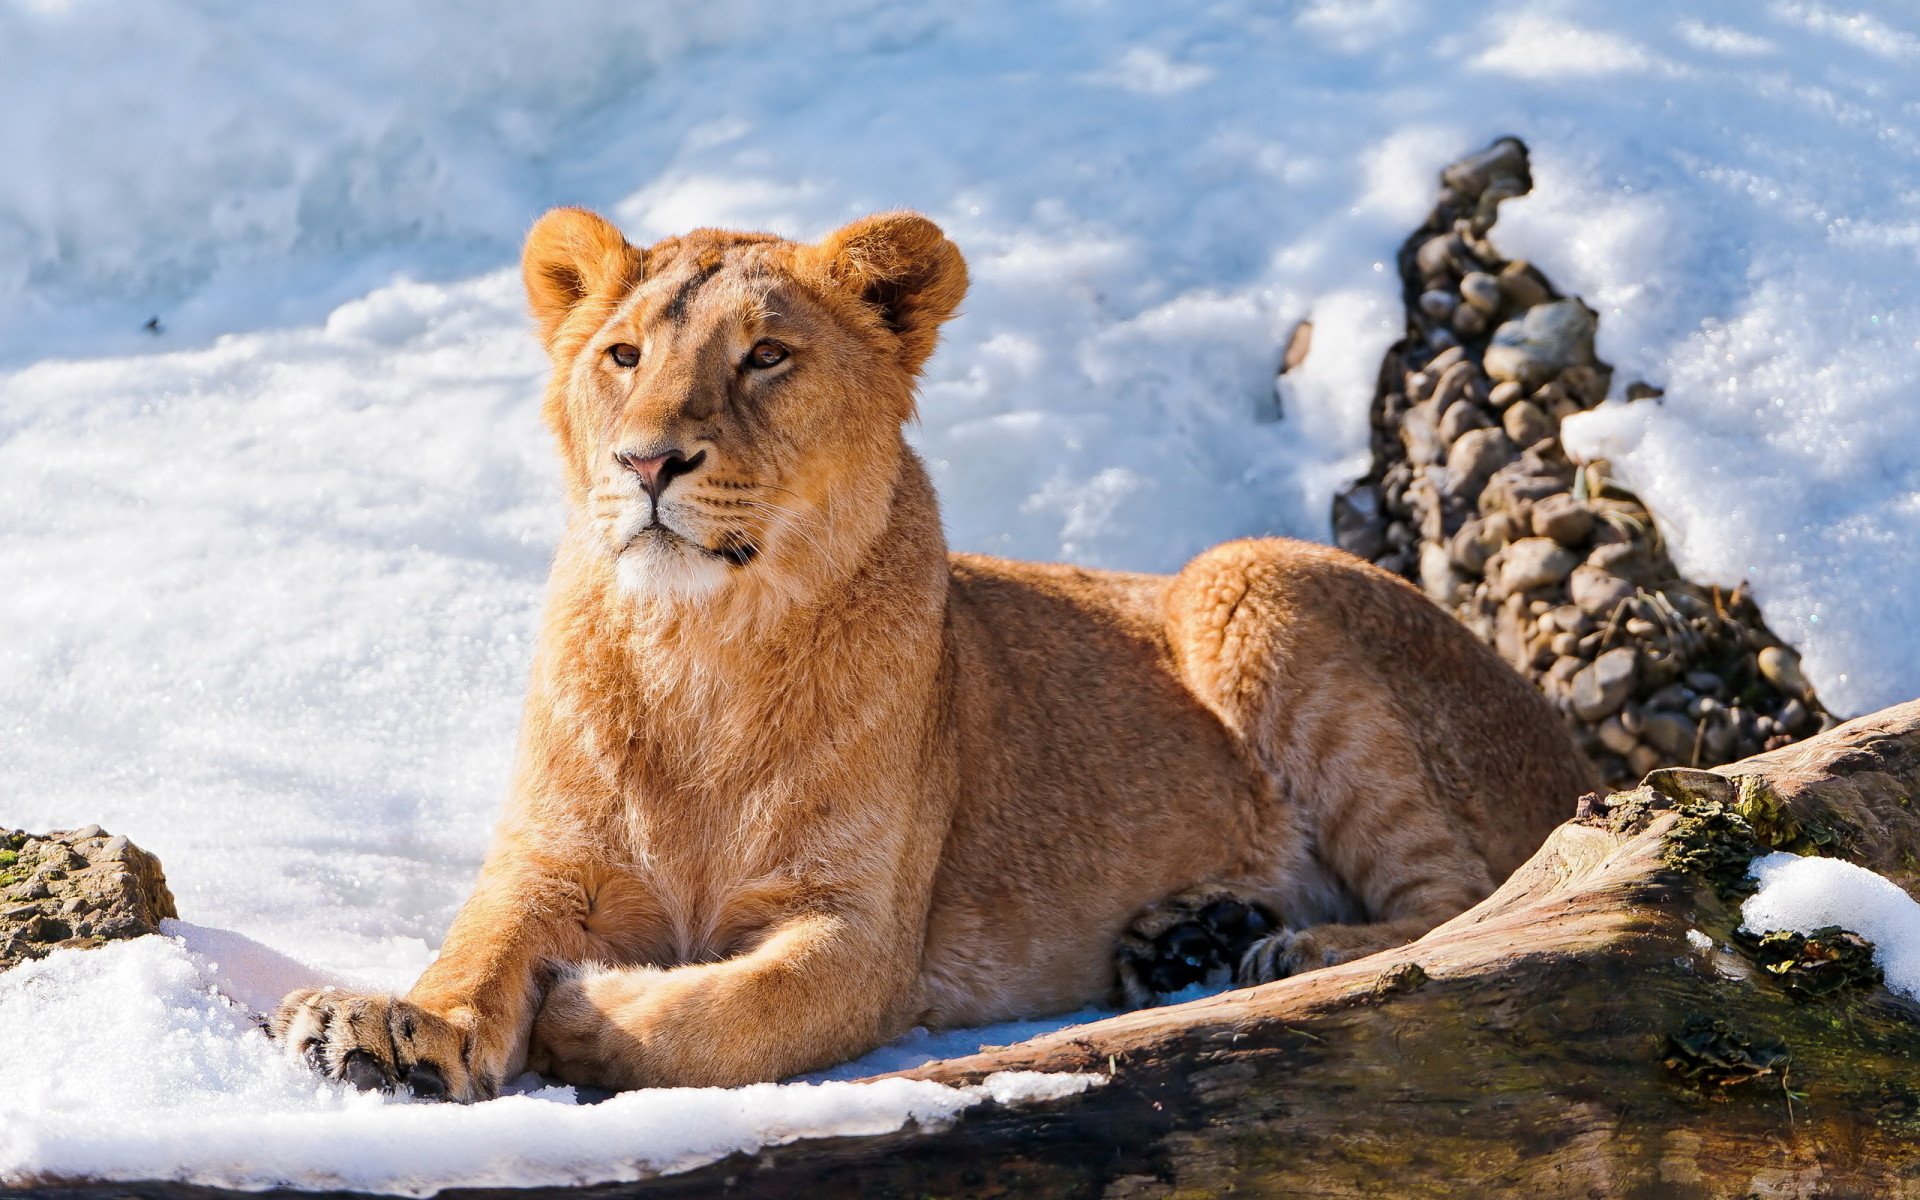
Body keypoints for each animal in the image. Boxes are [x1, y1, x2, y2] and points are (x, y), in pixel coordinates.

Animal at [270, 208, 1597, 1100]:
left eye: (765, 356)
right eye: (623, 356)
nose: (646, 461)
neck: (699, 645)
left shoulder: (864, 934)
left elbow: (728, 1017)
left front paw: (591, 1009)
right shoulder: (548, 862)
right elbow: (477, 947)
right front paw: (387, 1027)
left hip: (1246, 576)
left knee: (1470, 901)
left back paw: (1285, 949)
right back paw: (1189, 940)